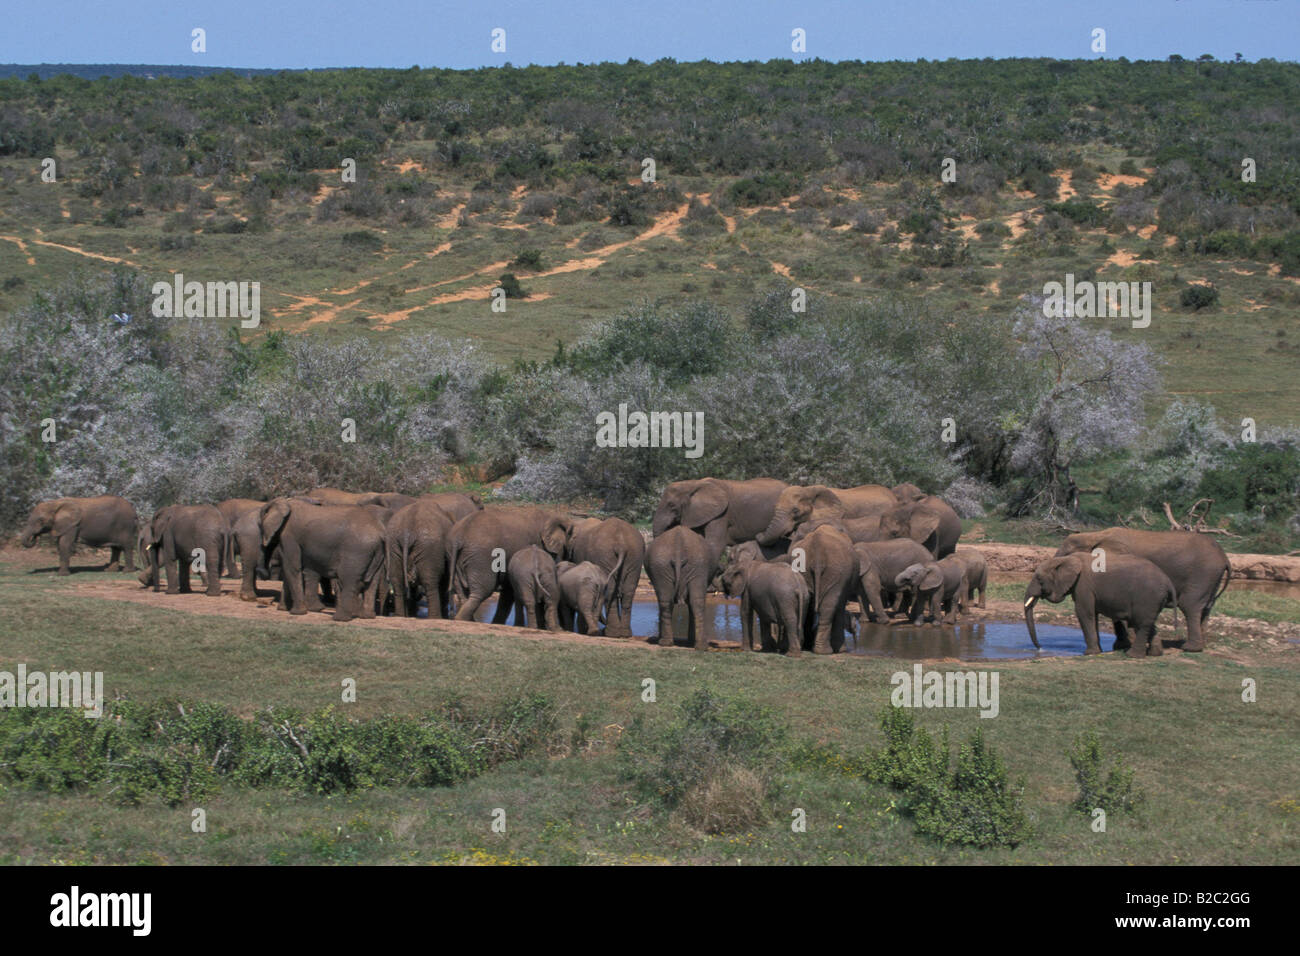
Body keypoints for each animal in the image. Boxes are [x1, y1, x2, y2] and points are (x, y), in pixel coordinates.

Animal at [786, 523, 858, 654]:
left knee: (807, 602)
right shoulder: (843, 580)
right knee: (828, 606)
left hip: (805, 569)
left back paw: (806, 646)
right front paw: (841, 650)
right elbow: (840, 605)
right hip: (836, 572)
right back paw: (824, 651)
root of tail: (817, 551)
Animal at [1025, 553, 1178, 657]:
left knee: (1141, 623)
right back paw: (1154, 654)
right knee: (1148, 622)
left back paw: (1132, 655)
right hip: (1154, 600)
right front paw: (1097, 652)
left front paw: (1089, 653)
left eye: (1039, 579)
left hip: (1148, 597)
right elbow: (1093, 614)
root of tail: (1168, 582)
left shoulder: (1083, 585)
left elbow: (1084, 613)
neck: (1065, 559)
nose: (1040, 648)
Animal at [1054, 528, 1230, 652]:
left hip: (1203, 575)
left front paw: (1126, 646)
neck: (1093, 536)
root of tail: (1224, 557)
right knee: (1205, 608)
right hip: (1211, 579)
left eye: (1065, 555)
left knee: (1189, 605)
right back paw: (1201, 645)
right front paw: (1121, 646)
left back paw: (1190, 649)